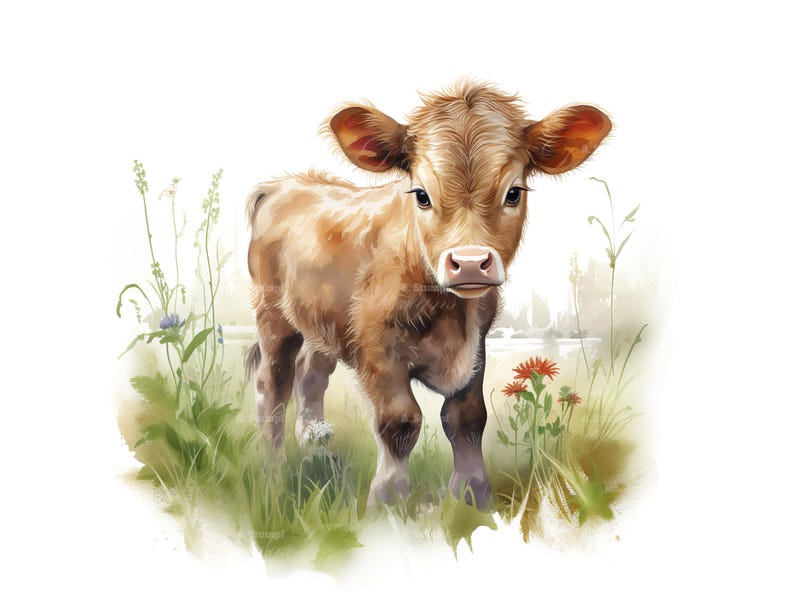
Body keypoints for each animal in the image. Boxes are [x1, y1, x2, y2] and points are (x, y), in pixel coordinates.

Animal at [245, 80, 611, 508]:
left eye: (514, 192)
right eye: (421, 194)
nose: (469, 263)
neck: (451, 313)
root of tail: (285, 184)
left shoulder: (477, 344)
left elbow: (466, 419)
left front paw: (471, 496)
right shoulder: (377, 346)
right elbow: (400, 421)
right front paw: (388, 502)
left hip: (322, 318)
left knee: (311, 371)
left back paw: (316, 442)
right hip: (273, 315)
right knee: (273, 384)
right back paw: (272, 472)